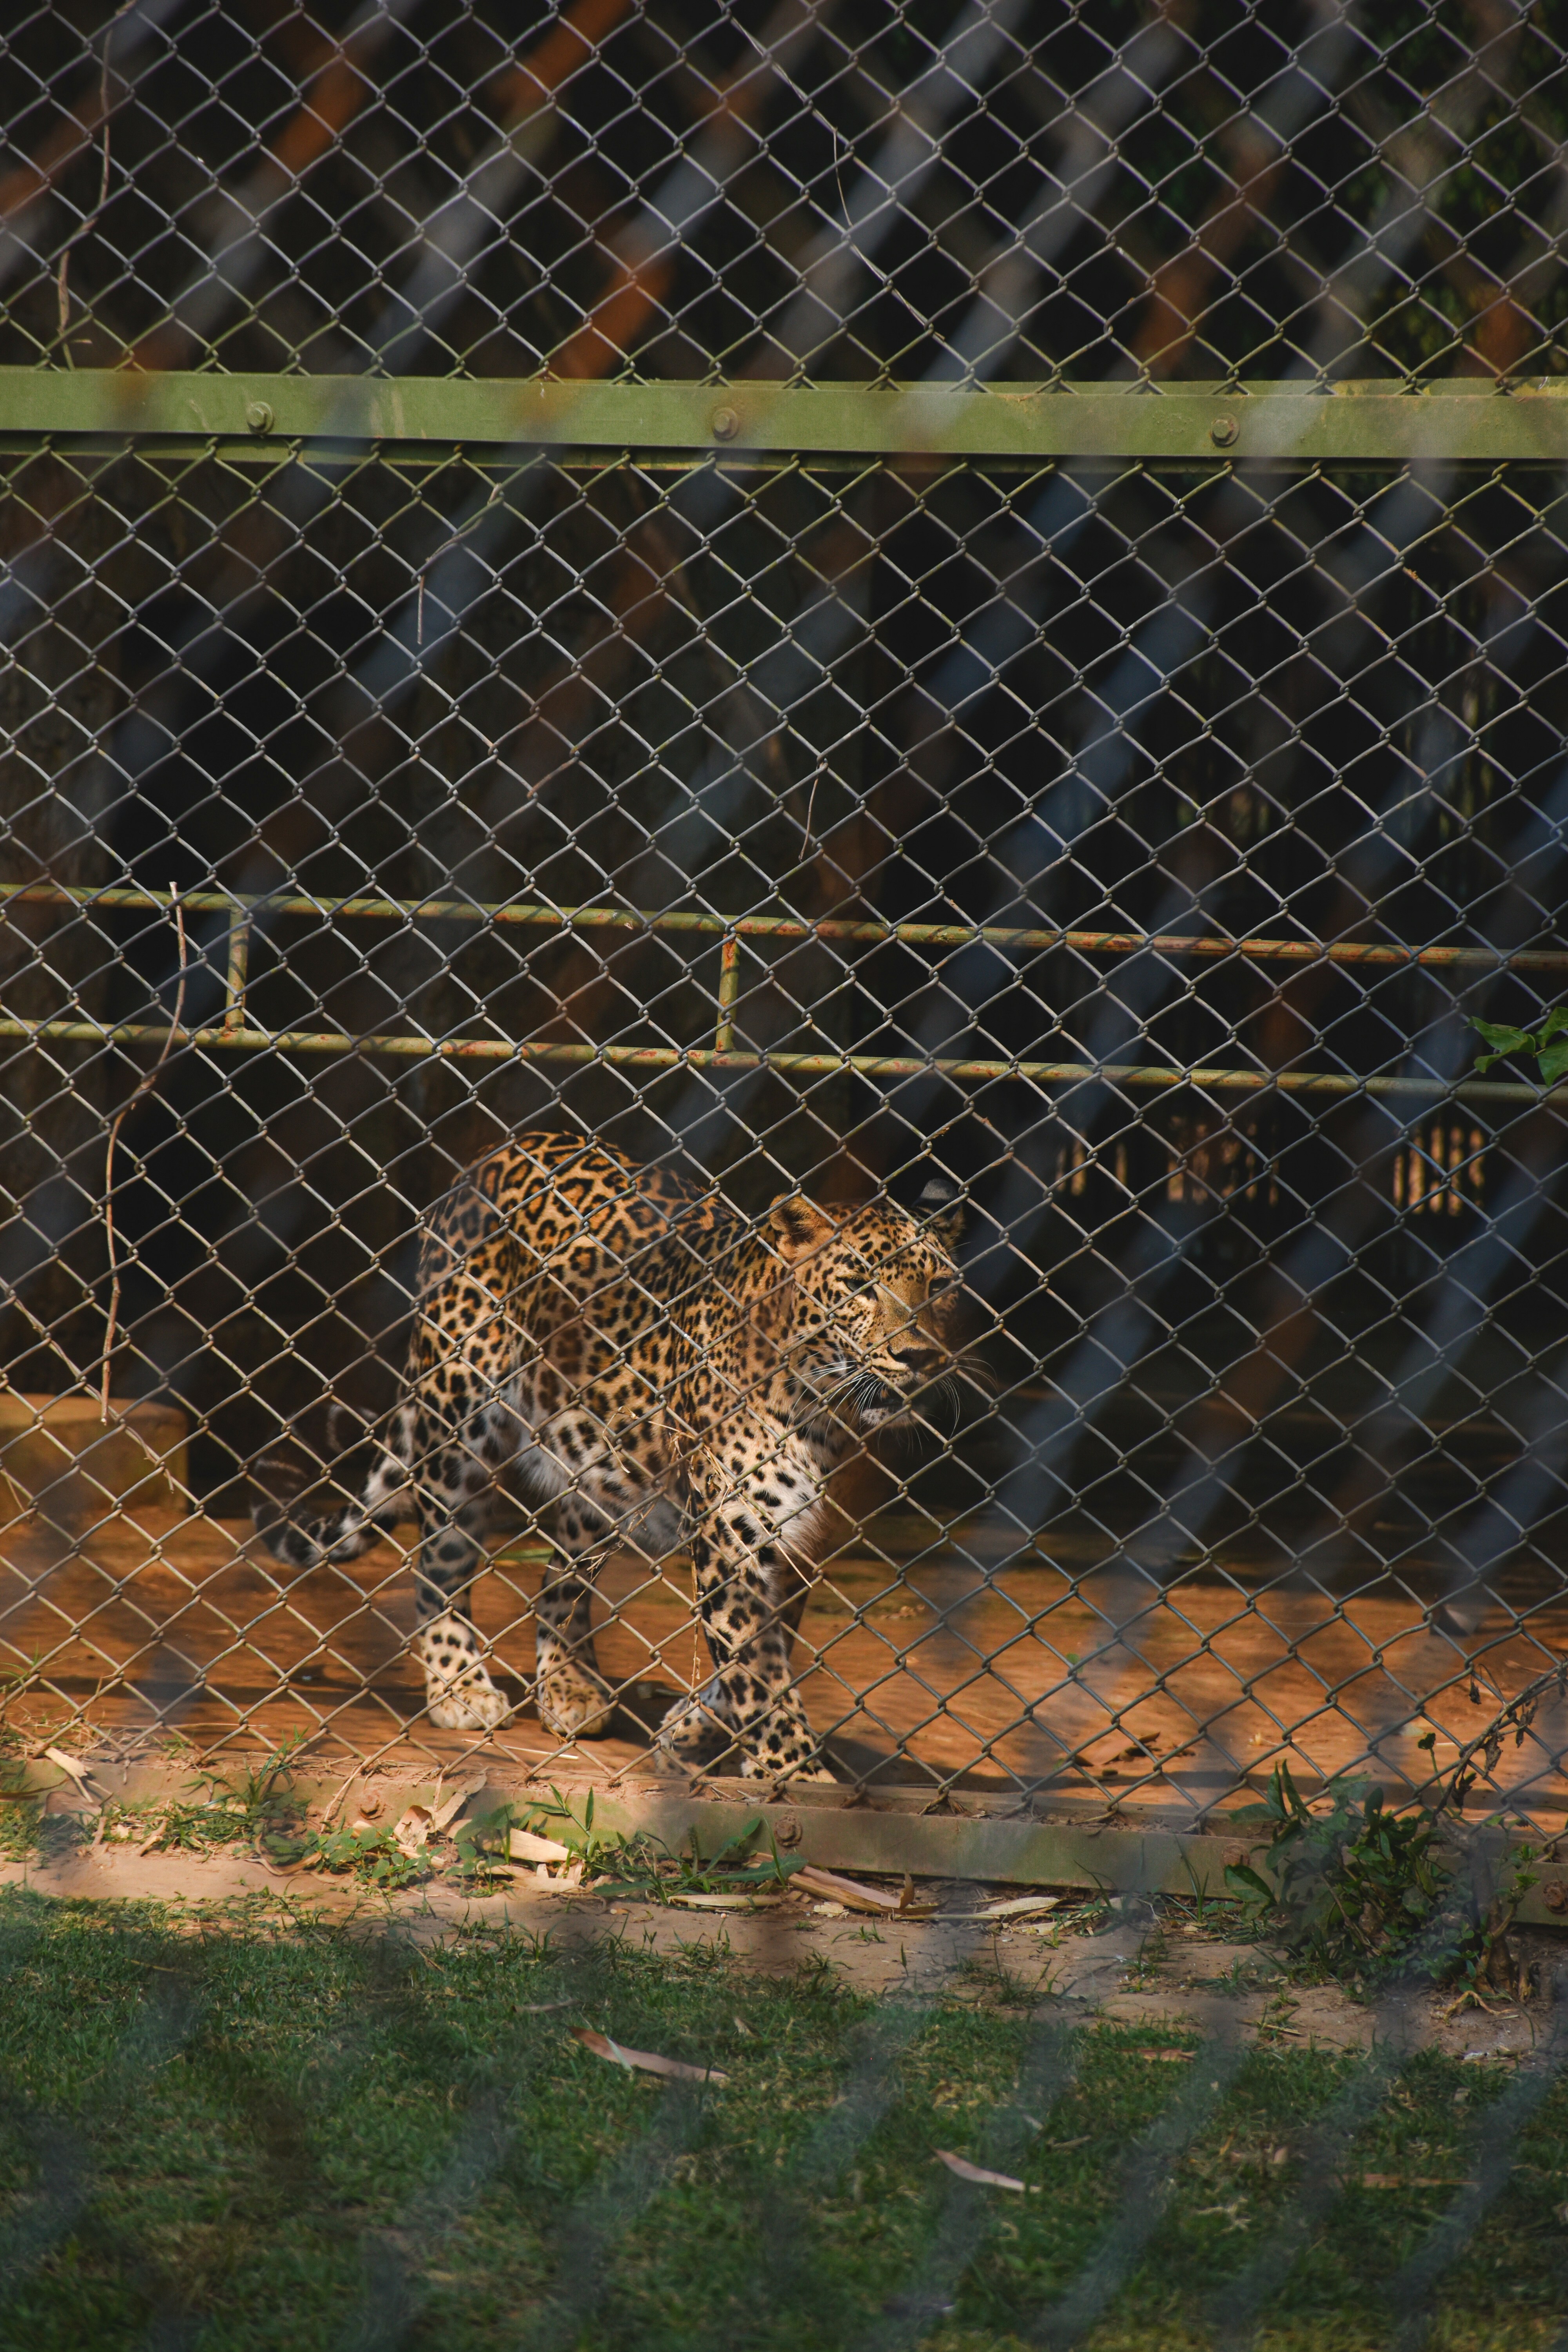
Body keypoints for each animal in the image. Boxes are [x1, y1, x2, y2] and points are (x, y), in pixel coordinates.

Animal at [253, 1128, 969, 1782]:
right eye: (859, 1285)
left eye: (940, 1286)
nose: (919, 1356)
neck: (828, 1415)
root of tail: (492, 1154)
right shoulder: (734, 1528)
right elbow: (754, 1666)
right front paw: (795, 1774)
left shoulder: (799, 1542)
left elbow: (760, 1652)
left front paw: (694, 1730)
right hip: (459, 1412)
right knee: (439, 1562)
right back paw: (460, 1687)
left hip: (598, 1458)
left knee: (557, 1577)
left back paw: (571, 1688)